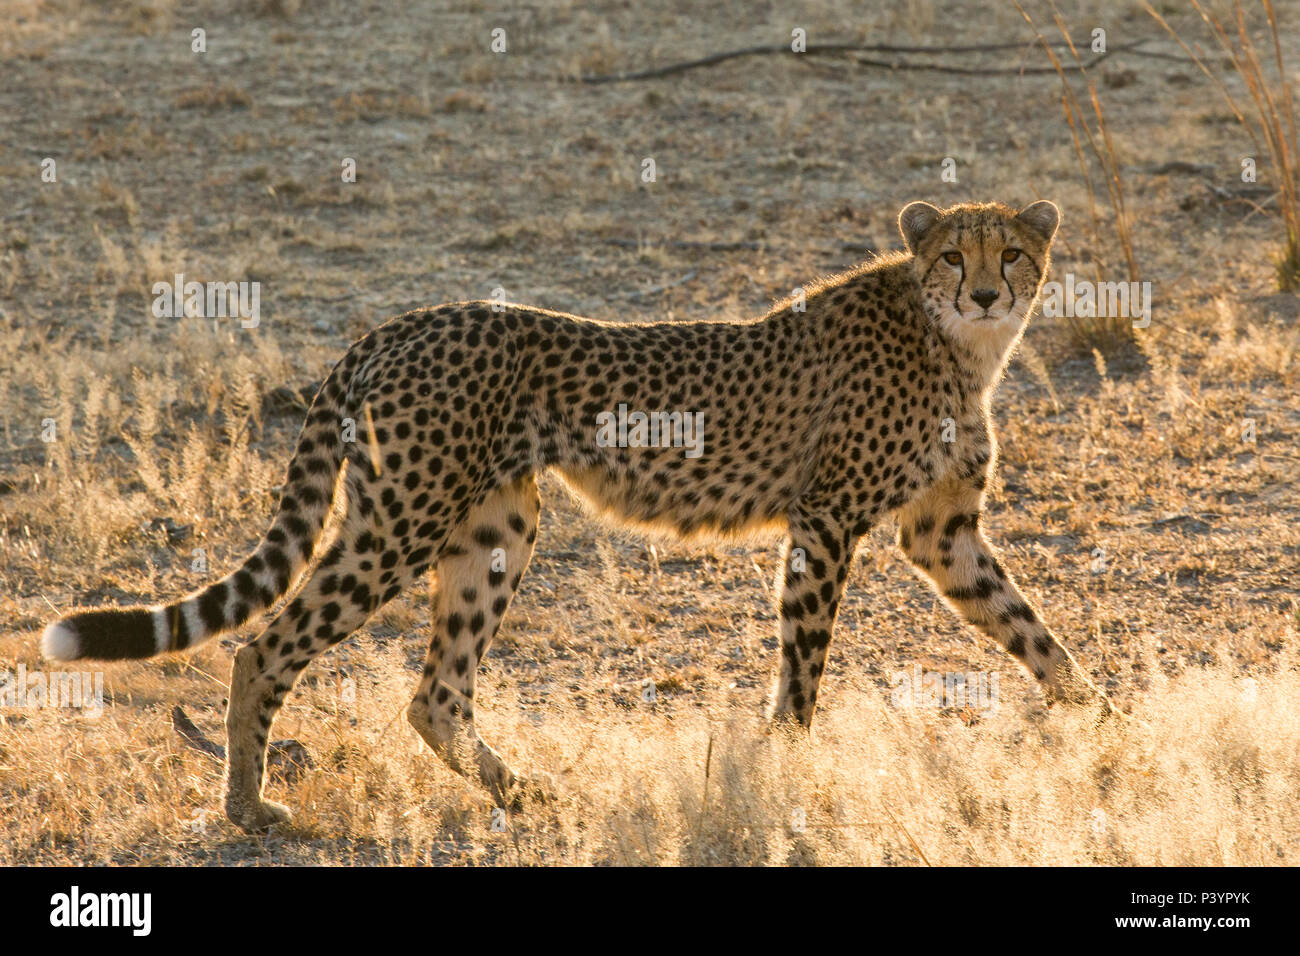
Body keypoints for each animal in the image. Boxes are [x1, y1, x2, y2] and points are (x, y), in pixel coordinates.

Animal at [42, 199, 1115, 832]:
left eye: (1014, 252)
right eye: (952, 256)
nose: (988, 290)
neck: (957, 346)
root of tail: (402, 322)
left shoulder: (943, 532)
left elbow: (1033, 632)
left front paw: (1111, 724)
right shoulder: (826, 520)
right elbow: (804, 672)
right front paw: (789, 766)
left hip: (495, 529)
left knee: (435, 693)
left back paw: (525, 793)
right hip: (403, 519)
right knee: (266, 645)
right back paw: (247, 807)